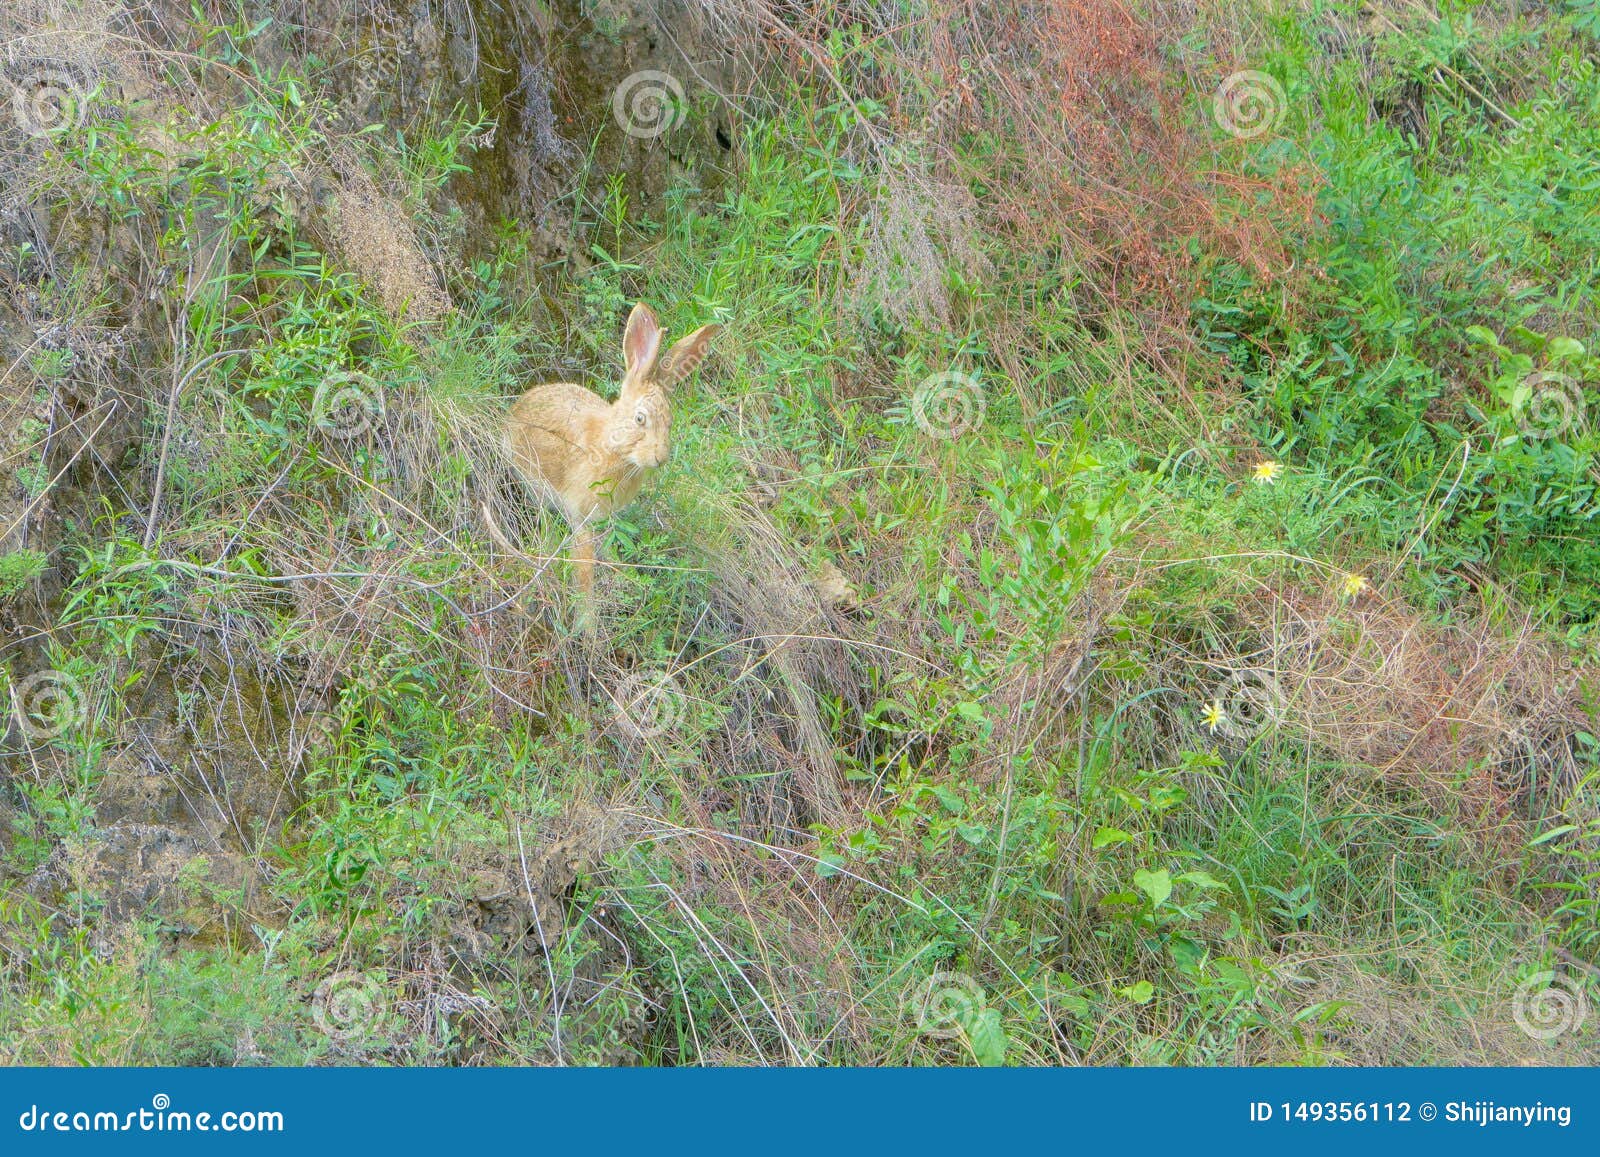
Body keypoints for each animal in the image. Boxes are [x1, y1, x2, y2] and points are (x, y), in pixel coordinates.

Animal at [504, 303, 720, 615]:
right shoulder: (580, 514)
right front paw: (587, 620)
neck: (614, 447)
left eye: (670, 423)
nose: (660, 457)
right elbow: (584, 567)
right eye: (640, 419)